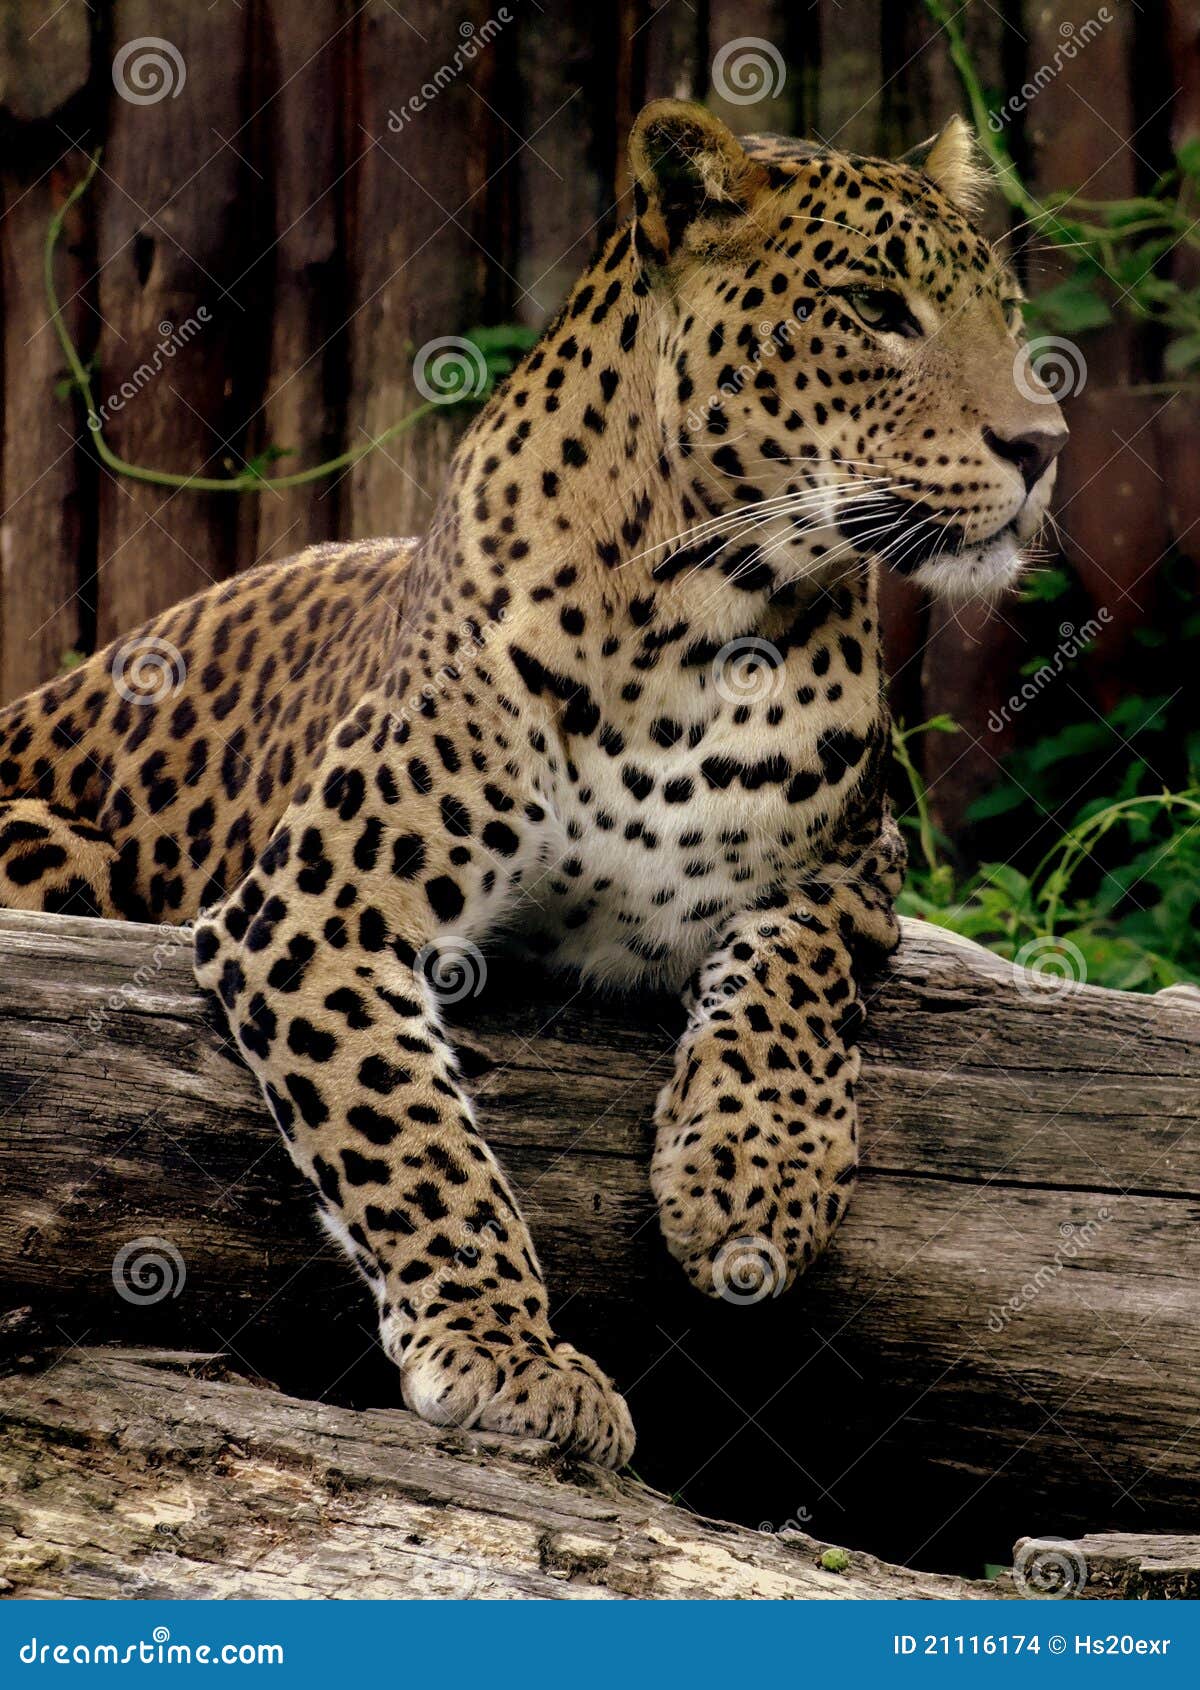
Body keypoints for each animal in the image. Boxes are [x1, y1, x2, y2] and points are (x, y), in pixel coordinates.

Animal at [0, 101, 1065, 1467]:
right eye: (877, 308)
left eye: (1004, 309)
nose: (1043, 447)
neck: (713, 619)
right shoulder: (314, 910)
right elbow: (409, 1131)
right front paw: (511, 1356)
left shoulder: (855, 868)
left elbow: (792, 968)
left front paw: (750, 1180)